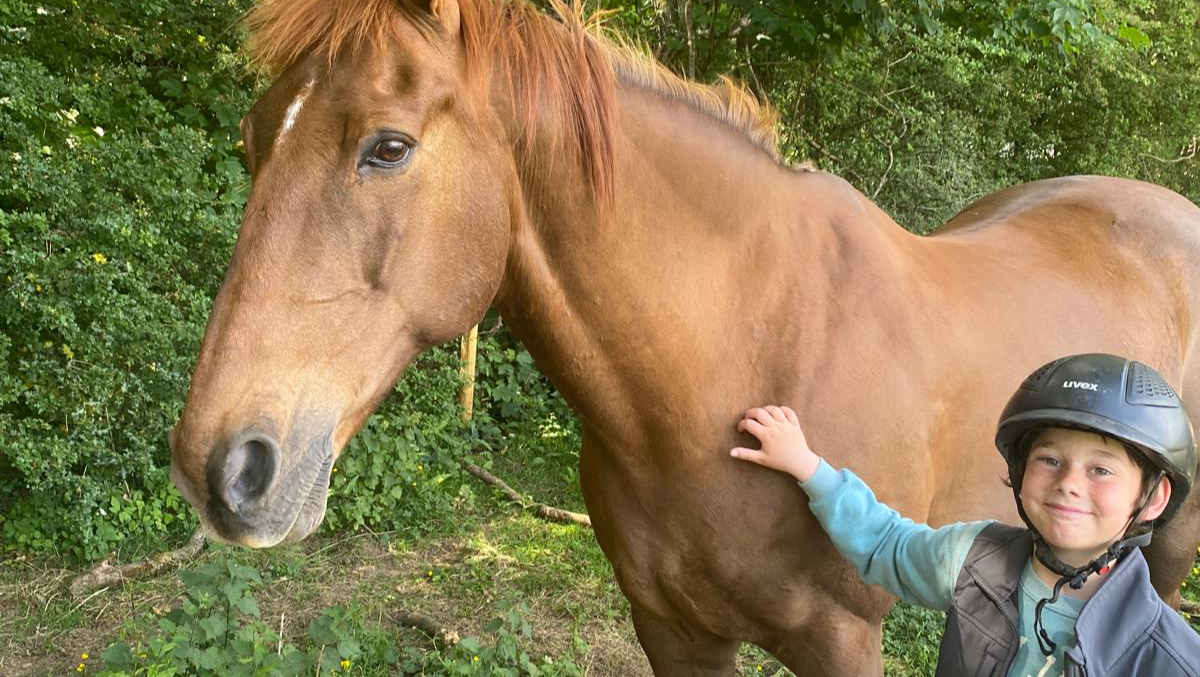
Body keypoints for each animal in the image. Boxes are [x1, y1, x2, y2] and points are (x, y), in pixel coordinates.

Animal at [168, 0, 1200, 673]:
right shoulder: (671, 628)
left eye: (386, 147)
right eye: (255, 142)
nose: (222, 467)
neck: (727, 367)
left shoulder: (839, 638)